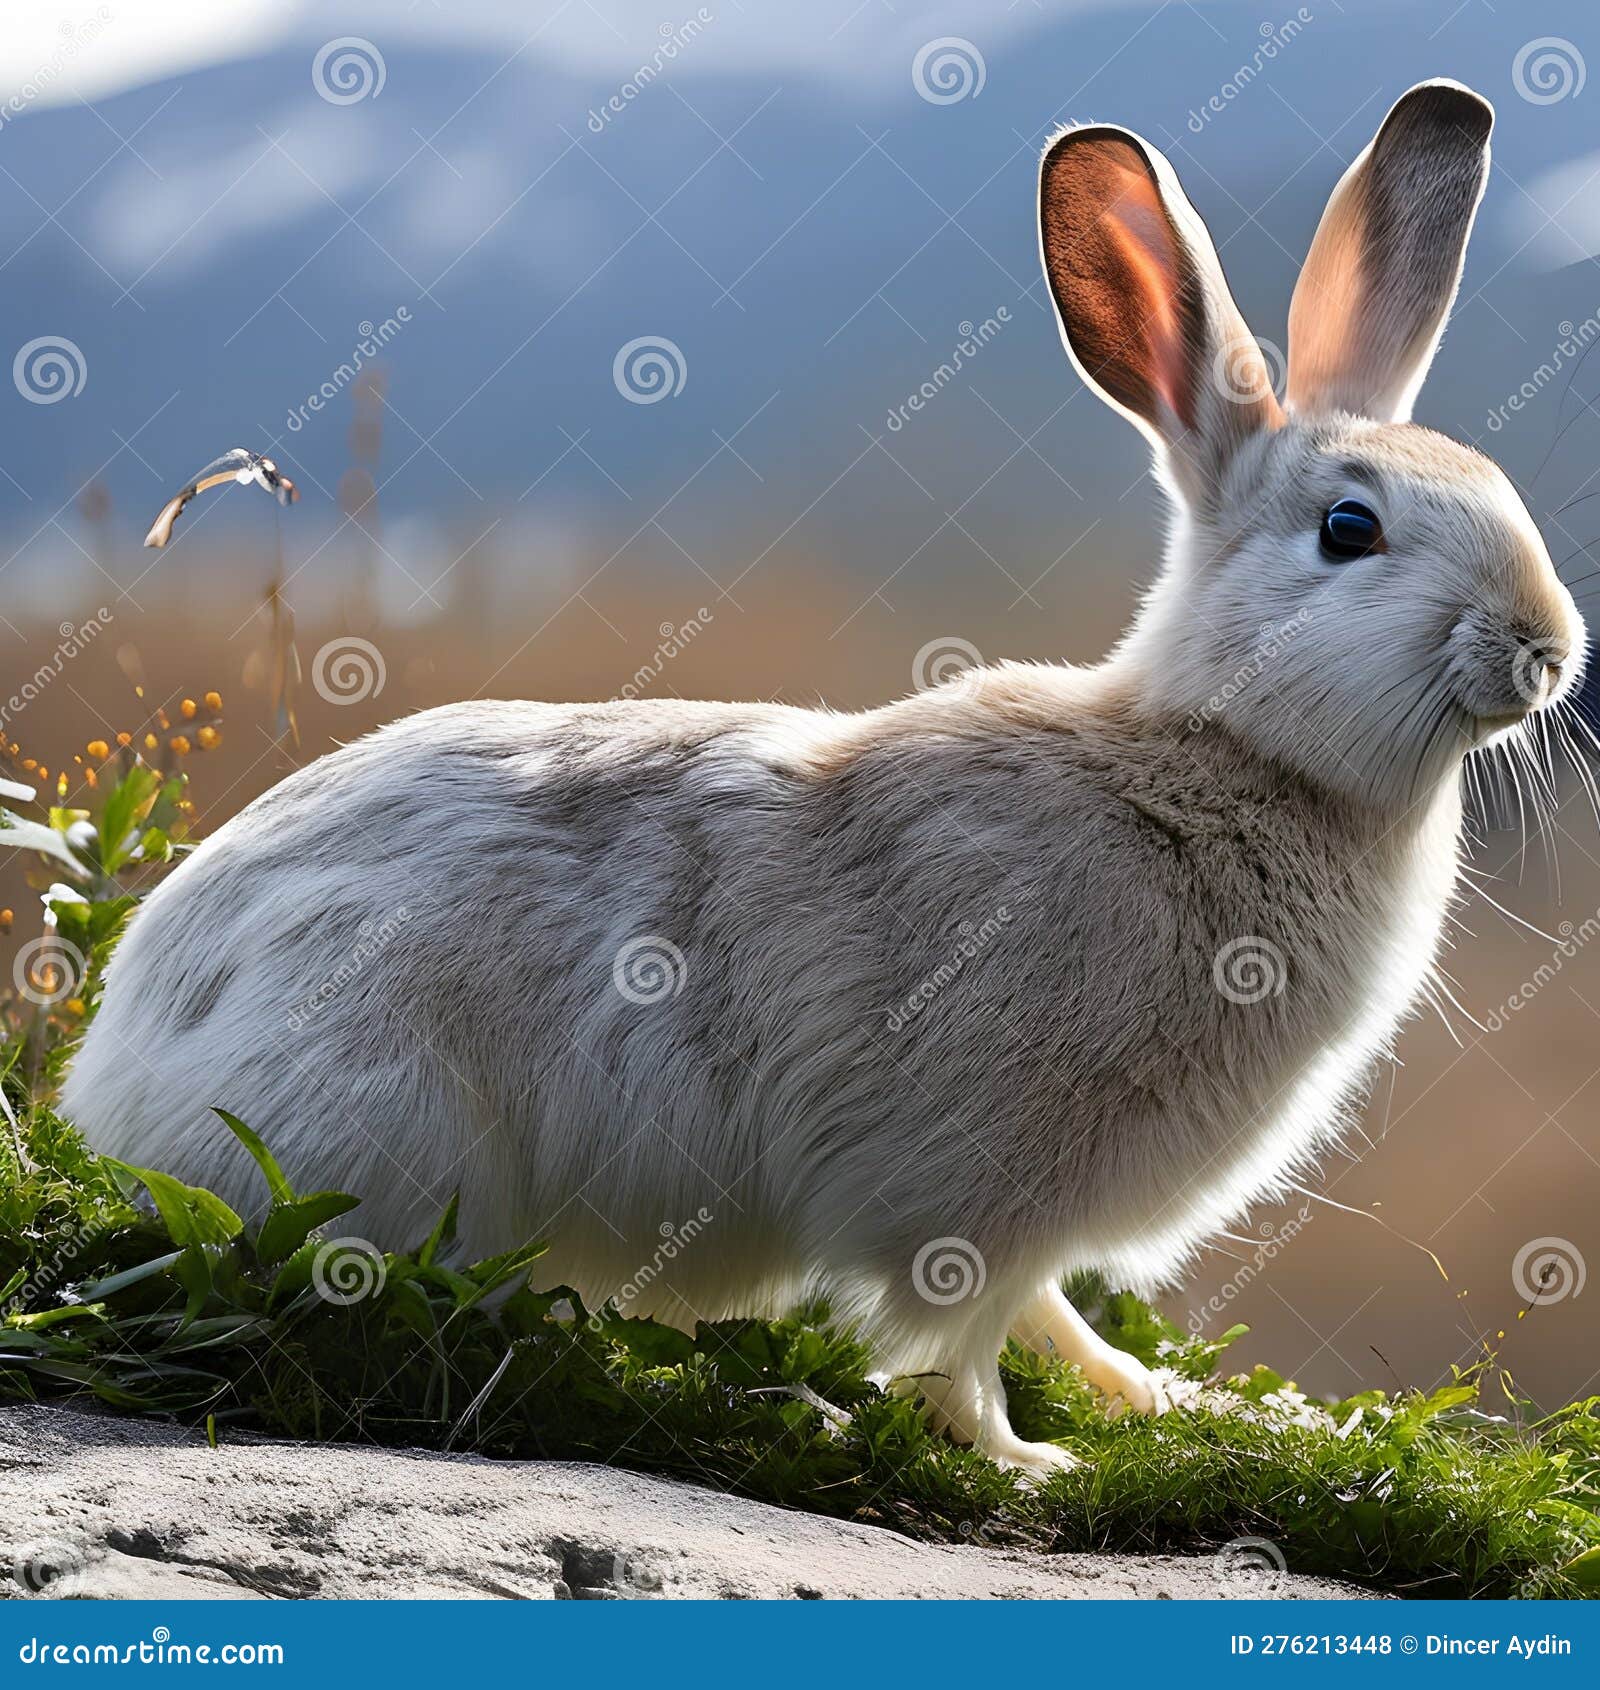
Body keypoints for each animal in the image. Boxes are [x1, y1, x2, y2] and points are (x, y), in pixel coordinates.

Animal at [62, 79, 1584, 1474]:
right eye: (1348, 529)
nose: (1547, 647)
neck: (1225, 751)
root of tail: (124, 1065)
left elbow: (1046, 1311)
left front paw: (1157, 1400)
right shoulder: (962, 1182)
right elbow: (956, 1326)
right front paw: (1019, 1458)